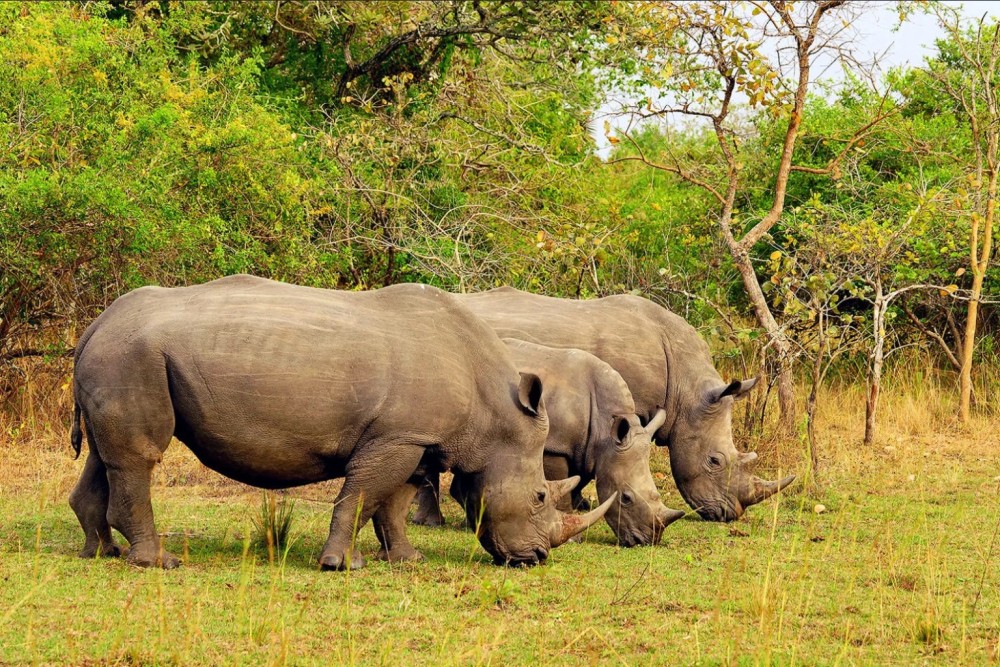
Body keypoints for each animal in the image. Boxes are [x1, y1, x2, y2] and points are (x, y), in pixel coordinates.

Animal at [68, 275, 614, 569]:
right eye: (540, 496)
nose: (536, 558)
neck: (494, 413)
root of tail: (94, 325)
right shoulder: (396, 438)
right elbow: (362, 496)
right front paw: (340, 565)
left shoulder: (410, 436)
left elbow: (393, 503)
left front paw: (406, 560)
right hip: (133, 356)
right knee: (140, 457)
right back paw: (158, 564)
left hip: (118, 356)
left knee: (104, 456)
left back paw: (102, 553)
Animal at [419, 339, 686, 545]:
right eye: (626, 498)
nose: (646, 541)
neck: (607, 432)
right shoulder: (556, 447)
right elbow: (563, 486)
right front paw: (572, 539)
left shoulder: (586, 449)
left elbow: (576, 481)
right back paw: (433, 523)